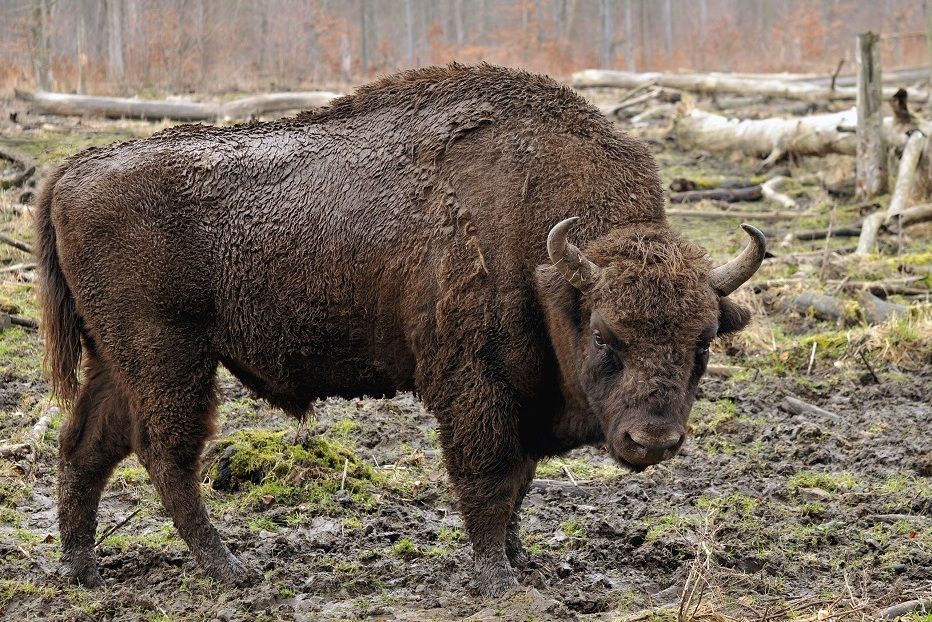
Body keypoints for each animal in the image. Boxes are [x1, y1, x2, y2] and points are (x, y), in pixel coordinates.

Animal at [35, 64, 764, 595]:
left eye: (703, 345)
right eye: (608, 338)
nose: (654, 440)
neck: (546, 261)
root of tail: (73, 169)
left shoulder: (523, 397)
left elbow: (519, 482)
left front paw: (521, 561)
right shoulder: (477, 386)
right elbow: (490, 476)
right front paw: (497, 579)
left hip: (117, 359)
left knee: (85, 446)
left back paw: (81, 569)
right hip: (169, 358)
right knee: (164, 454)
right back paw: (231, 568)